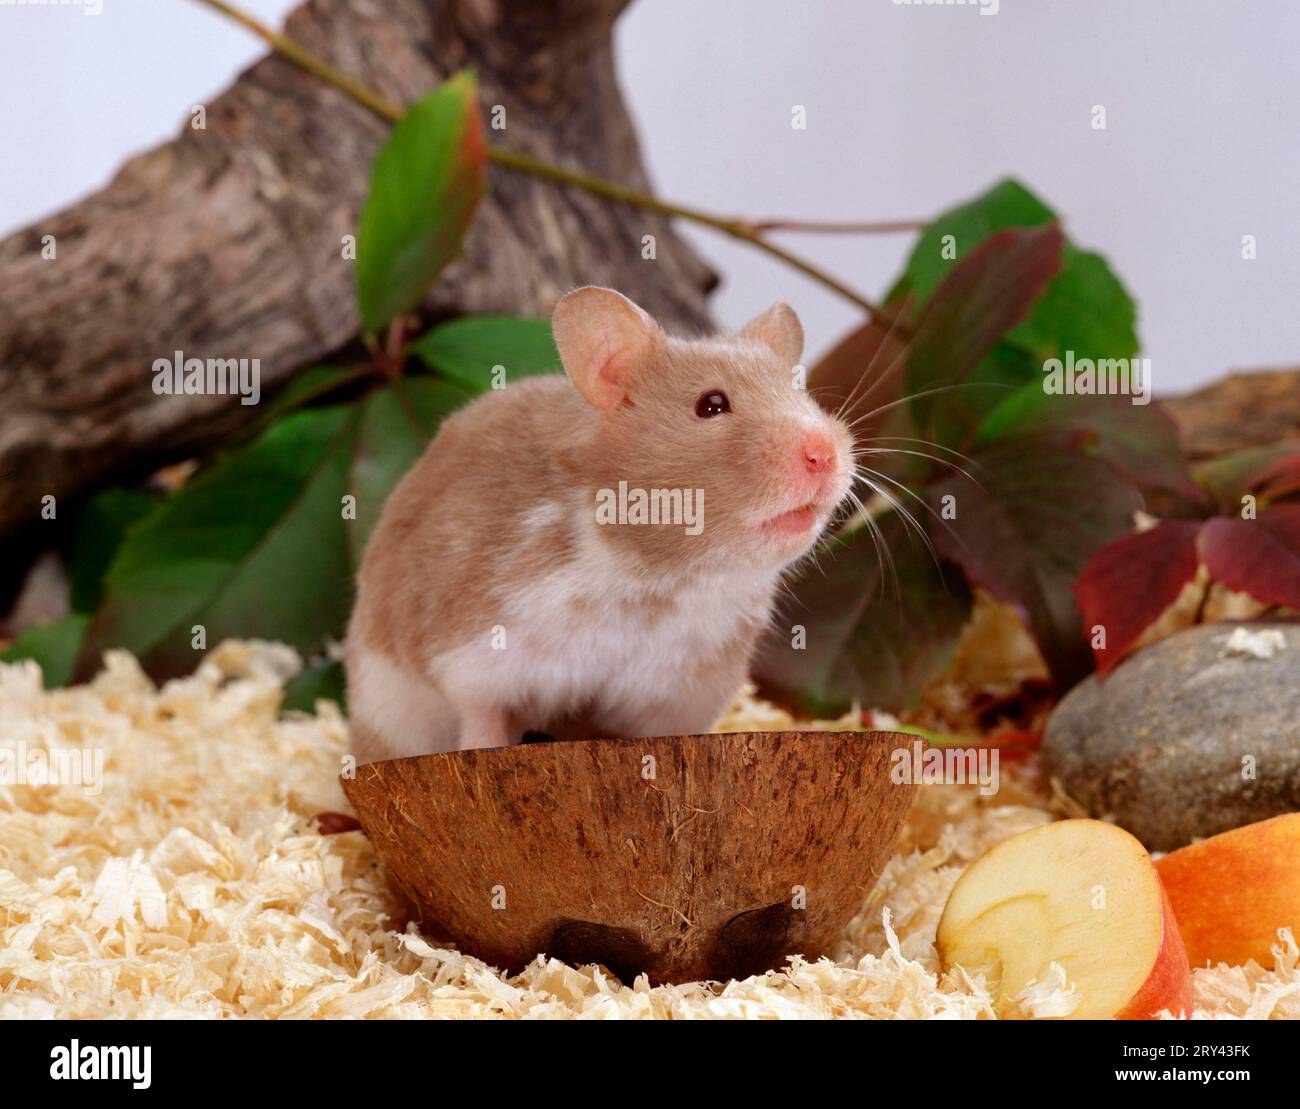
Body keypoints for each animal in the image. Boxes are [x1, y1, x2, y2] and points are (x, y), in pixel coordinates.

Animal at [345, 286, 854, 762]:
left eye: (802, 393)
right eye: (711, 404)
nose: (825, 453)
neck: (661, 575)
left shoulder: (677, 695)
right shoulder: (476, 663)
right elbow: (482, 726)